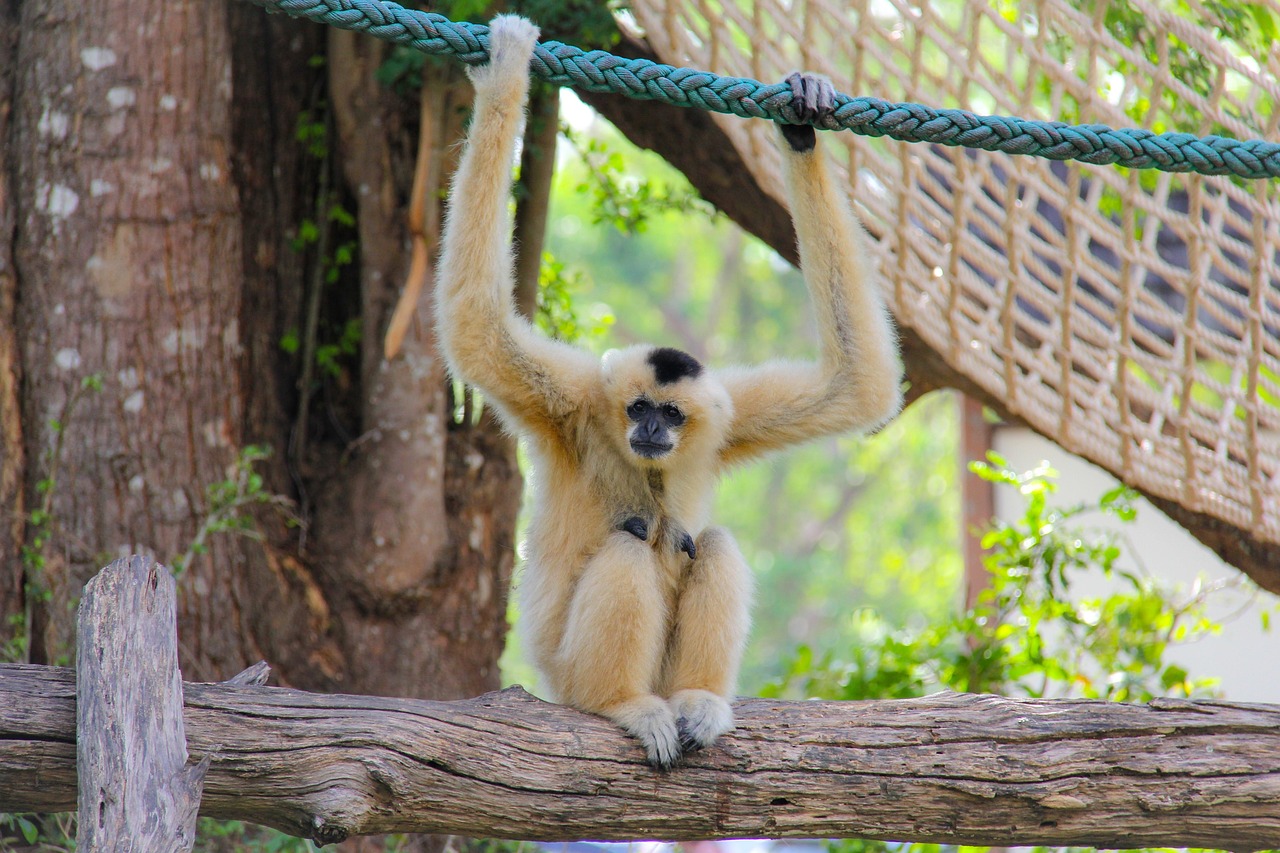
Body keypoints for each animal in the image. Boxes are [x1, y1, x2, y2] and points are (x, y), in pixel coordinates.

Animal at [435, 15, 903, 768]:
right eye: (637, 408)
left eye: (672, 416)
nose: (651, 431)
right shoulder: (570, 400)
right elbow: (476, 325)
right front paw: (507, 76)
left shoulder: (729, 415)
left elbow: (856, 383)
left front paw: (801, 121)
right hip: (564, 669)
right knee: (635, 541)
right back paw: (622, 703)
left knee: (704, 541)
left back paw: (697, 700)